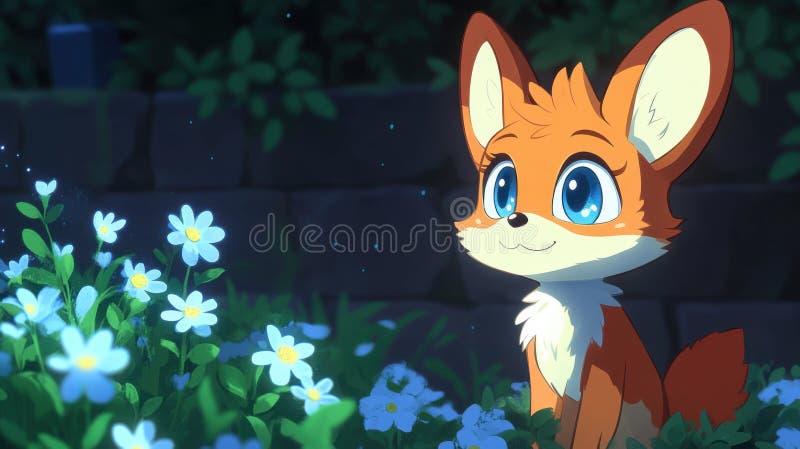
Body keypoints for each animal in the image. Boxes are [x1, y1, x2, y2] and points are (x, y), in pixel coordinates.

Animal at [453, 1, 748, 448]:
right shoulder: (543, 381)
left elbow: (589, 430)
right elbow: (543, 424)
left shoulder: (603, 377)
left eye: (579, 193)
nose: (515, 219)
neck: (566, 305)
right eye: (502, 188)